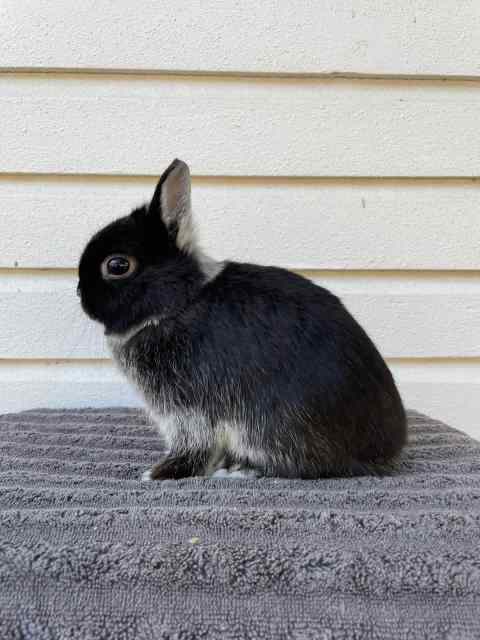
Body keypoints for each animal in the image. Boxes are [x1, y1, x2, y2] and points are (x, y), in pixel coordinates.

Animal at [78, 158, 407, 480]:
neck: (177, 305)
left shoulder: (189, 410)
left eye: (117, 266)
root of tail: (387, 449)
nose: (80, 292)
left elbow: (195, 446)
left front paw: (161, 472)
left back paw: (242, 469)